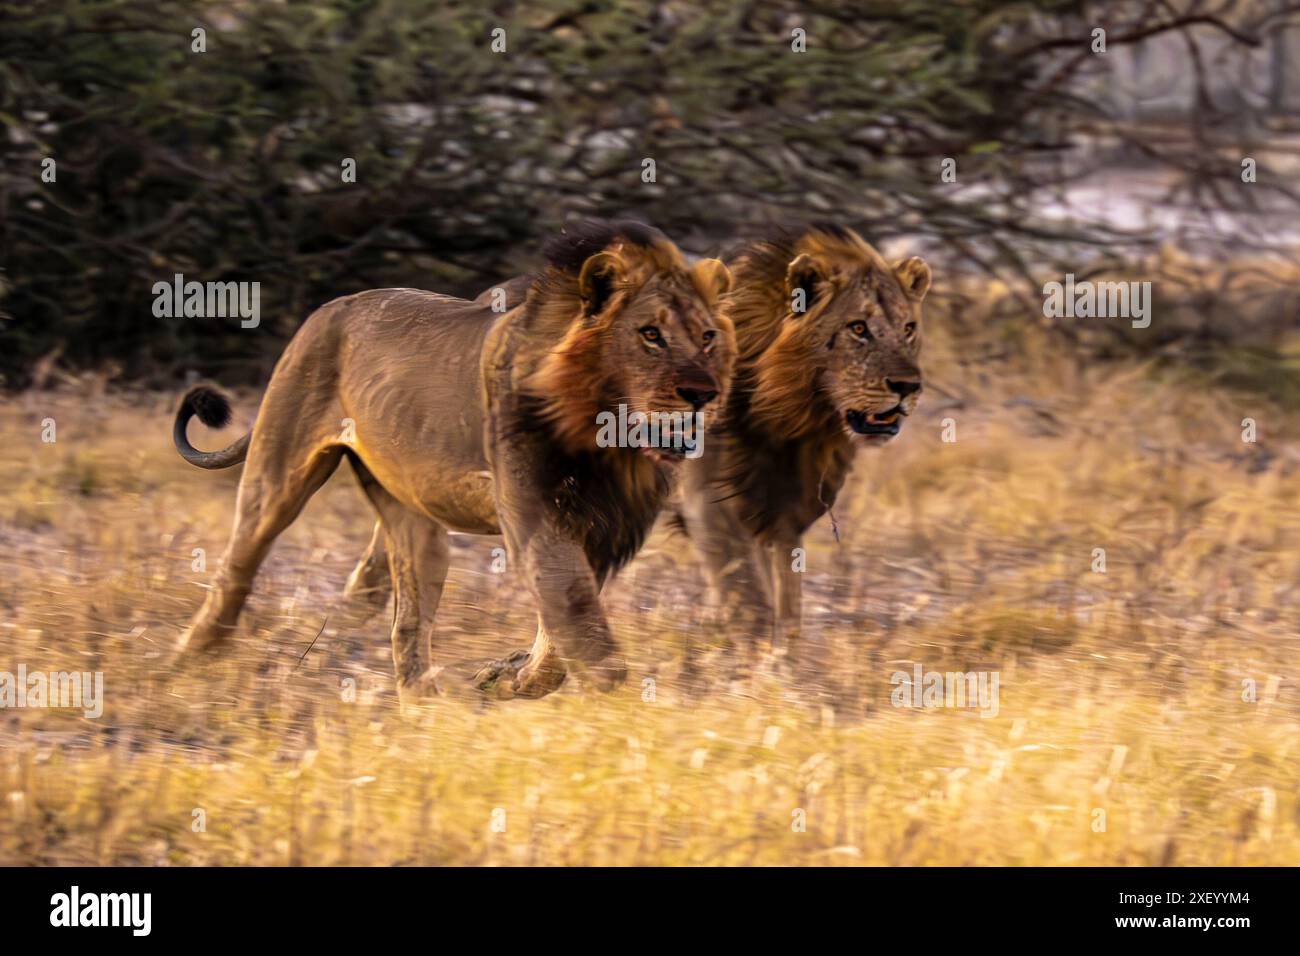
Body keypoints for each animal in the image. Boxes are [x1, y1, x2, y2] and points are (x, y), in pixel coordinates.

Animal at [171, 220, 735, 702]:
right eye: (650, 335)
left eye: (708, 336)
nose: (702, 394)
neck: (605, 440)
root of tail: (331, 306)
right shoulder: (537, 518)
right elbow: (582, 626)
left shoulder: (602, 527)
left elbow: (558, 634)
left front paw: (508, 676)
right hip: (278, 472)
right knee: (238, 564)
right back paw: (188, 663)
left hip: (413, 519)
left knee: (398, 612)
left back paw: (421, 708)